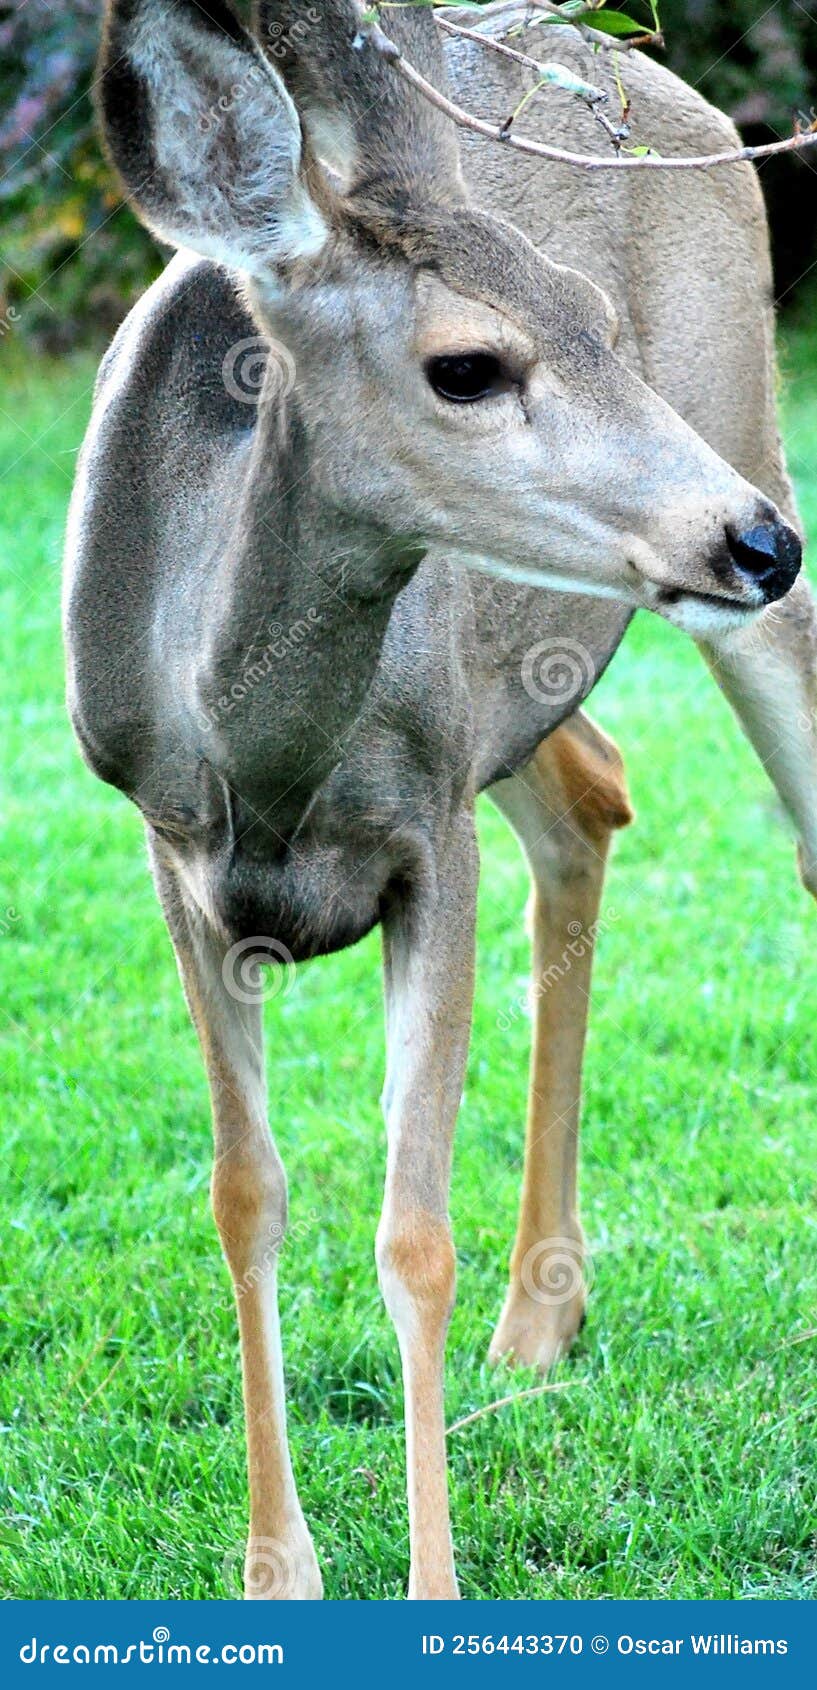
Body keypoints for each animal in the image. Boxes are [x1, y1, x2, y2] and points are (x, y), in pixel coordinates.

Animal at [62, 0, 816, 1600]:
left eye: (597, 315)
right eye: (466, 367)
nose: (752, 539)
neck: (260, 754)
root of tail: (679, 99)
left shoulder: (426, 831)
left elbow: (412, 1235)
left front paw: (430, 1586)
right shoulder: (170, 847)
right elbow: (244, 1193)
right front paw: (273, 1568)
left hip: (743, 437)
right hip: (524, 678)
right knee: (592, 795)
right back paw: (543, 1318)